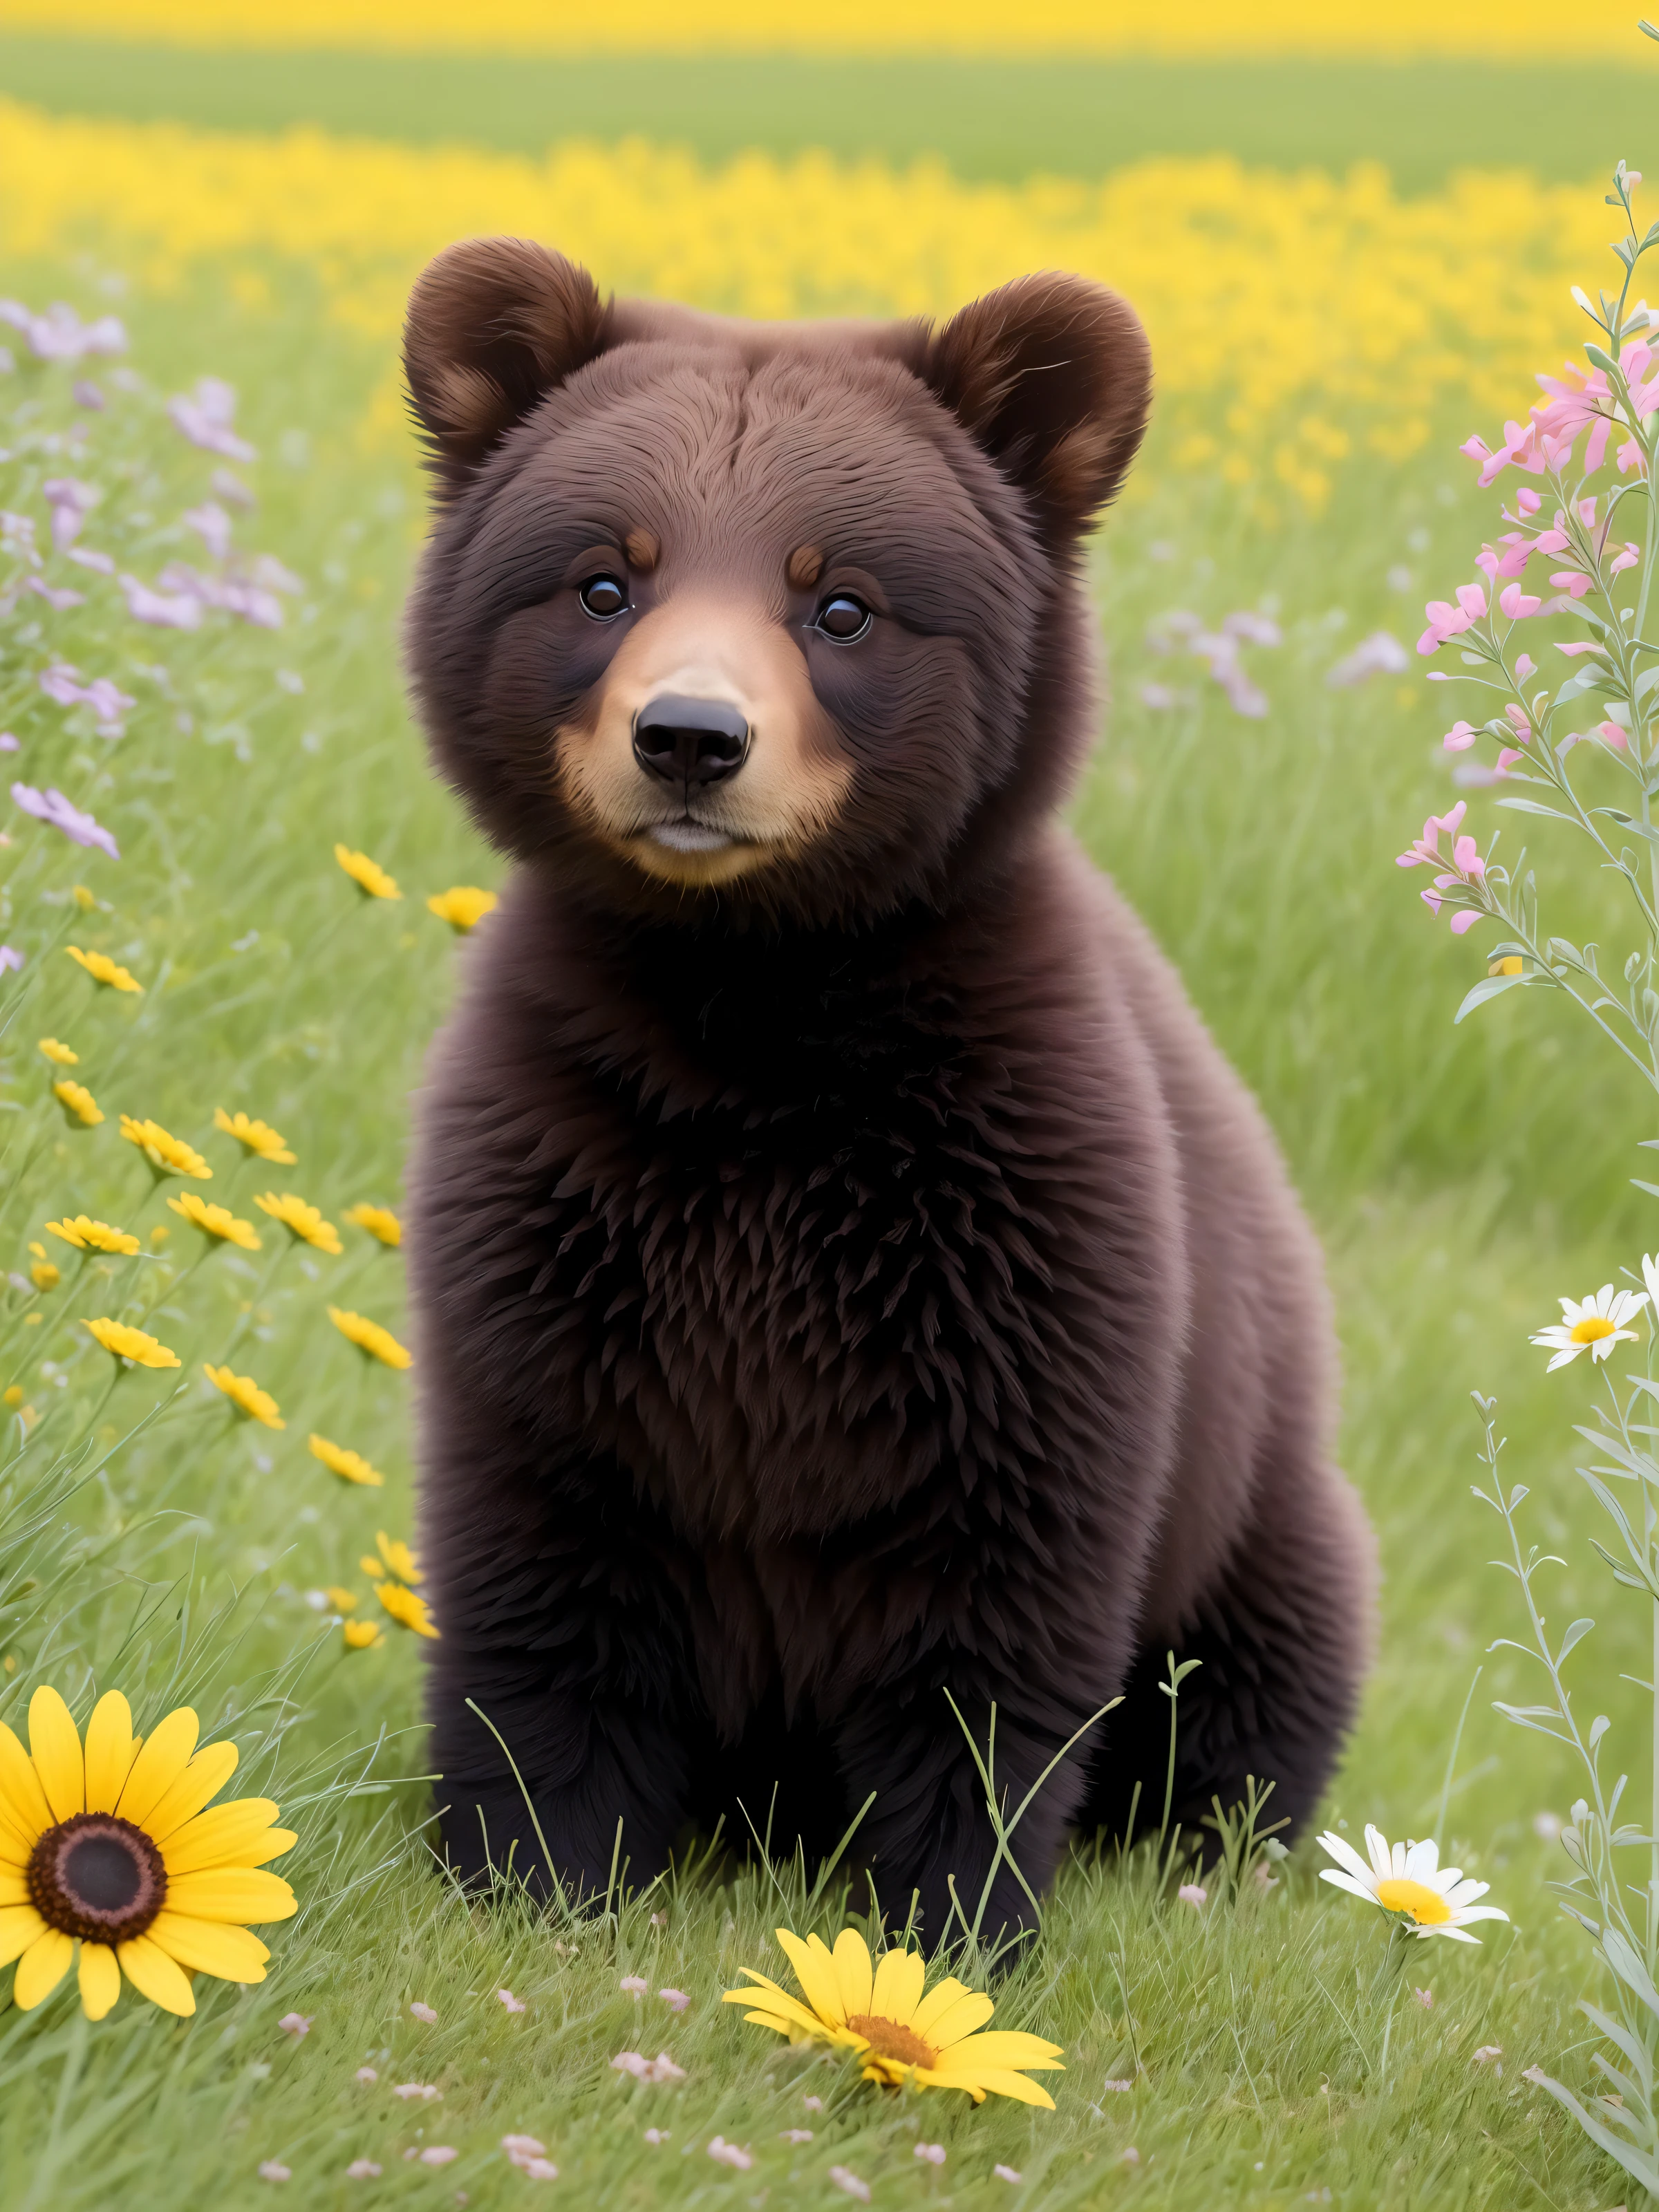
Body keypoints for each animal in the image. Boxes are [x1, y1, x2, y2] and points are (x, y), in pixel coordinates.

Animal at [401, 236, 1376, 1948]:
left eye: (841, 600)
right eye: (605, 578)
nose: (691, 738)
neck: (752, 1019)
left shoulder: (1018, 1219)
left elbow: (990, 1614)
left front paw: (947, 1914)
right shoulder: (562, 1185)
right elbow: (549, 1548)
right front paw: (534, 1865)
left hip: (1263, 1502)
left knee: (1265, 1679)